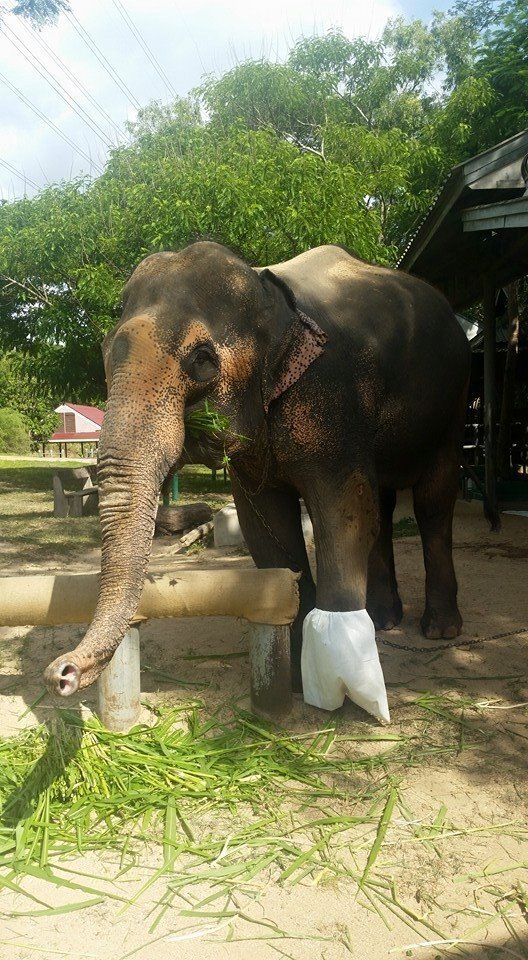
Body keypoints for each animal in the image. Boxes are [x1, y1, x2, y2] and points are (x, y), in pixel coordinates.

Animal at [44, 241, 471, 701]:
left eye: (202, 360)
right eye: (105, 354)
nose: (61, 675)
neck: (267, 289)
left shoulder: (333, 401)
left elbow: (345, 516)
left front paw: (339, 688)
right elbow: (266, 528)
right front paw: (297, 679)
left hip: (453, 403)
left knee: (432, 501)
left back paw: (439, 630)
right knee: (385, 507)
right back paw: (383, 619)